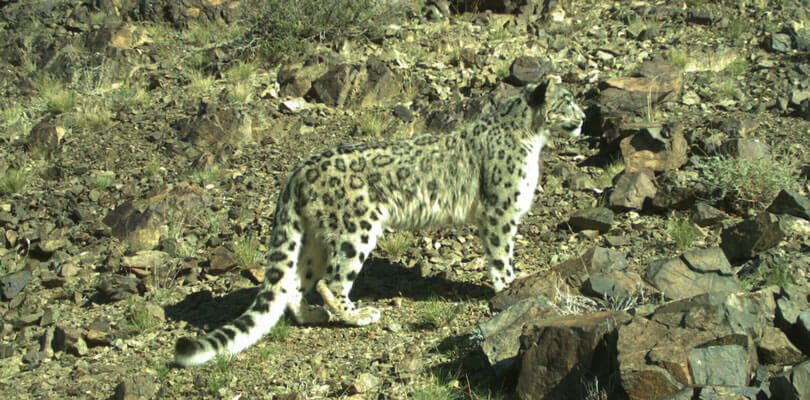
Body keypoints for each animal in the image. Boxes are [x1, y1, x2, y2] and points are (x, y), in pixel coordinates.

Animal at [174, 75, 585, 367]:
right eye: (567, 101)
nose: (583, 119)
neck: (532, 139)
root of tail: (298, 170)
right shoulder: (500, 210)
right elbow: (501, 254)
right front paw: (510, 285)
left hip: (313, 240)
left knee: (294, 283)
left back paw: (312, 313)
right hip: (357, 227)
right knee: (331, 281)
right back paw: (359, 315)